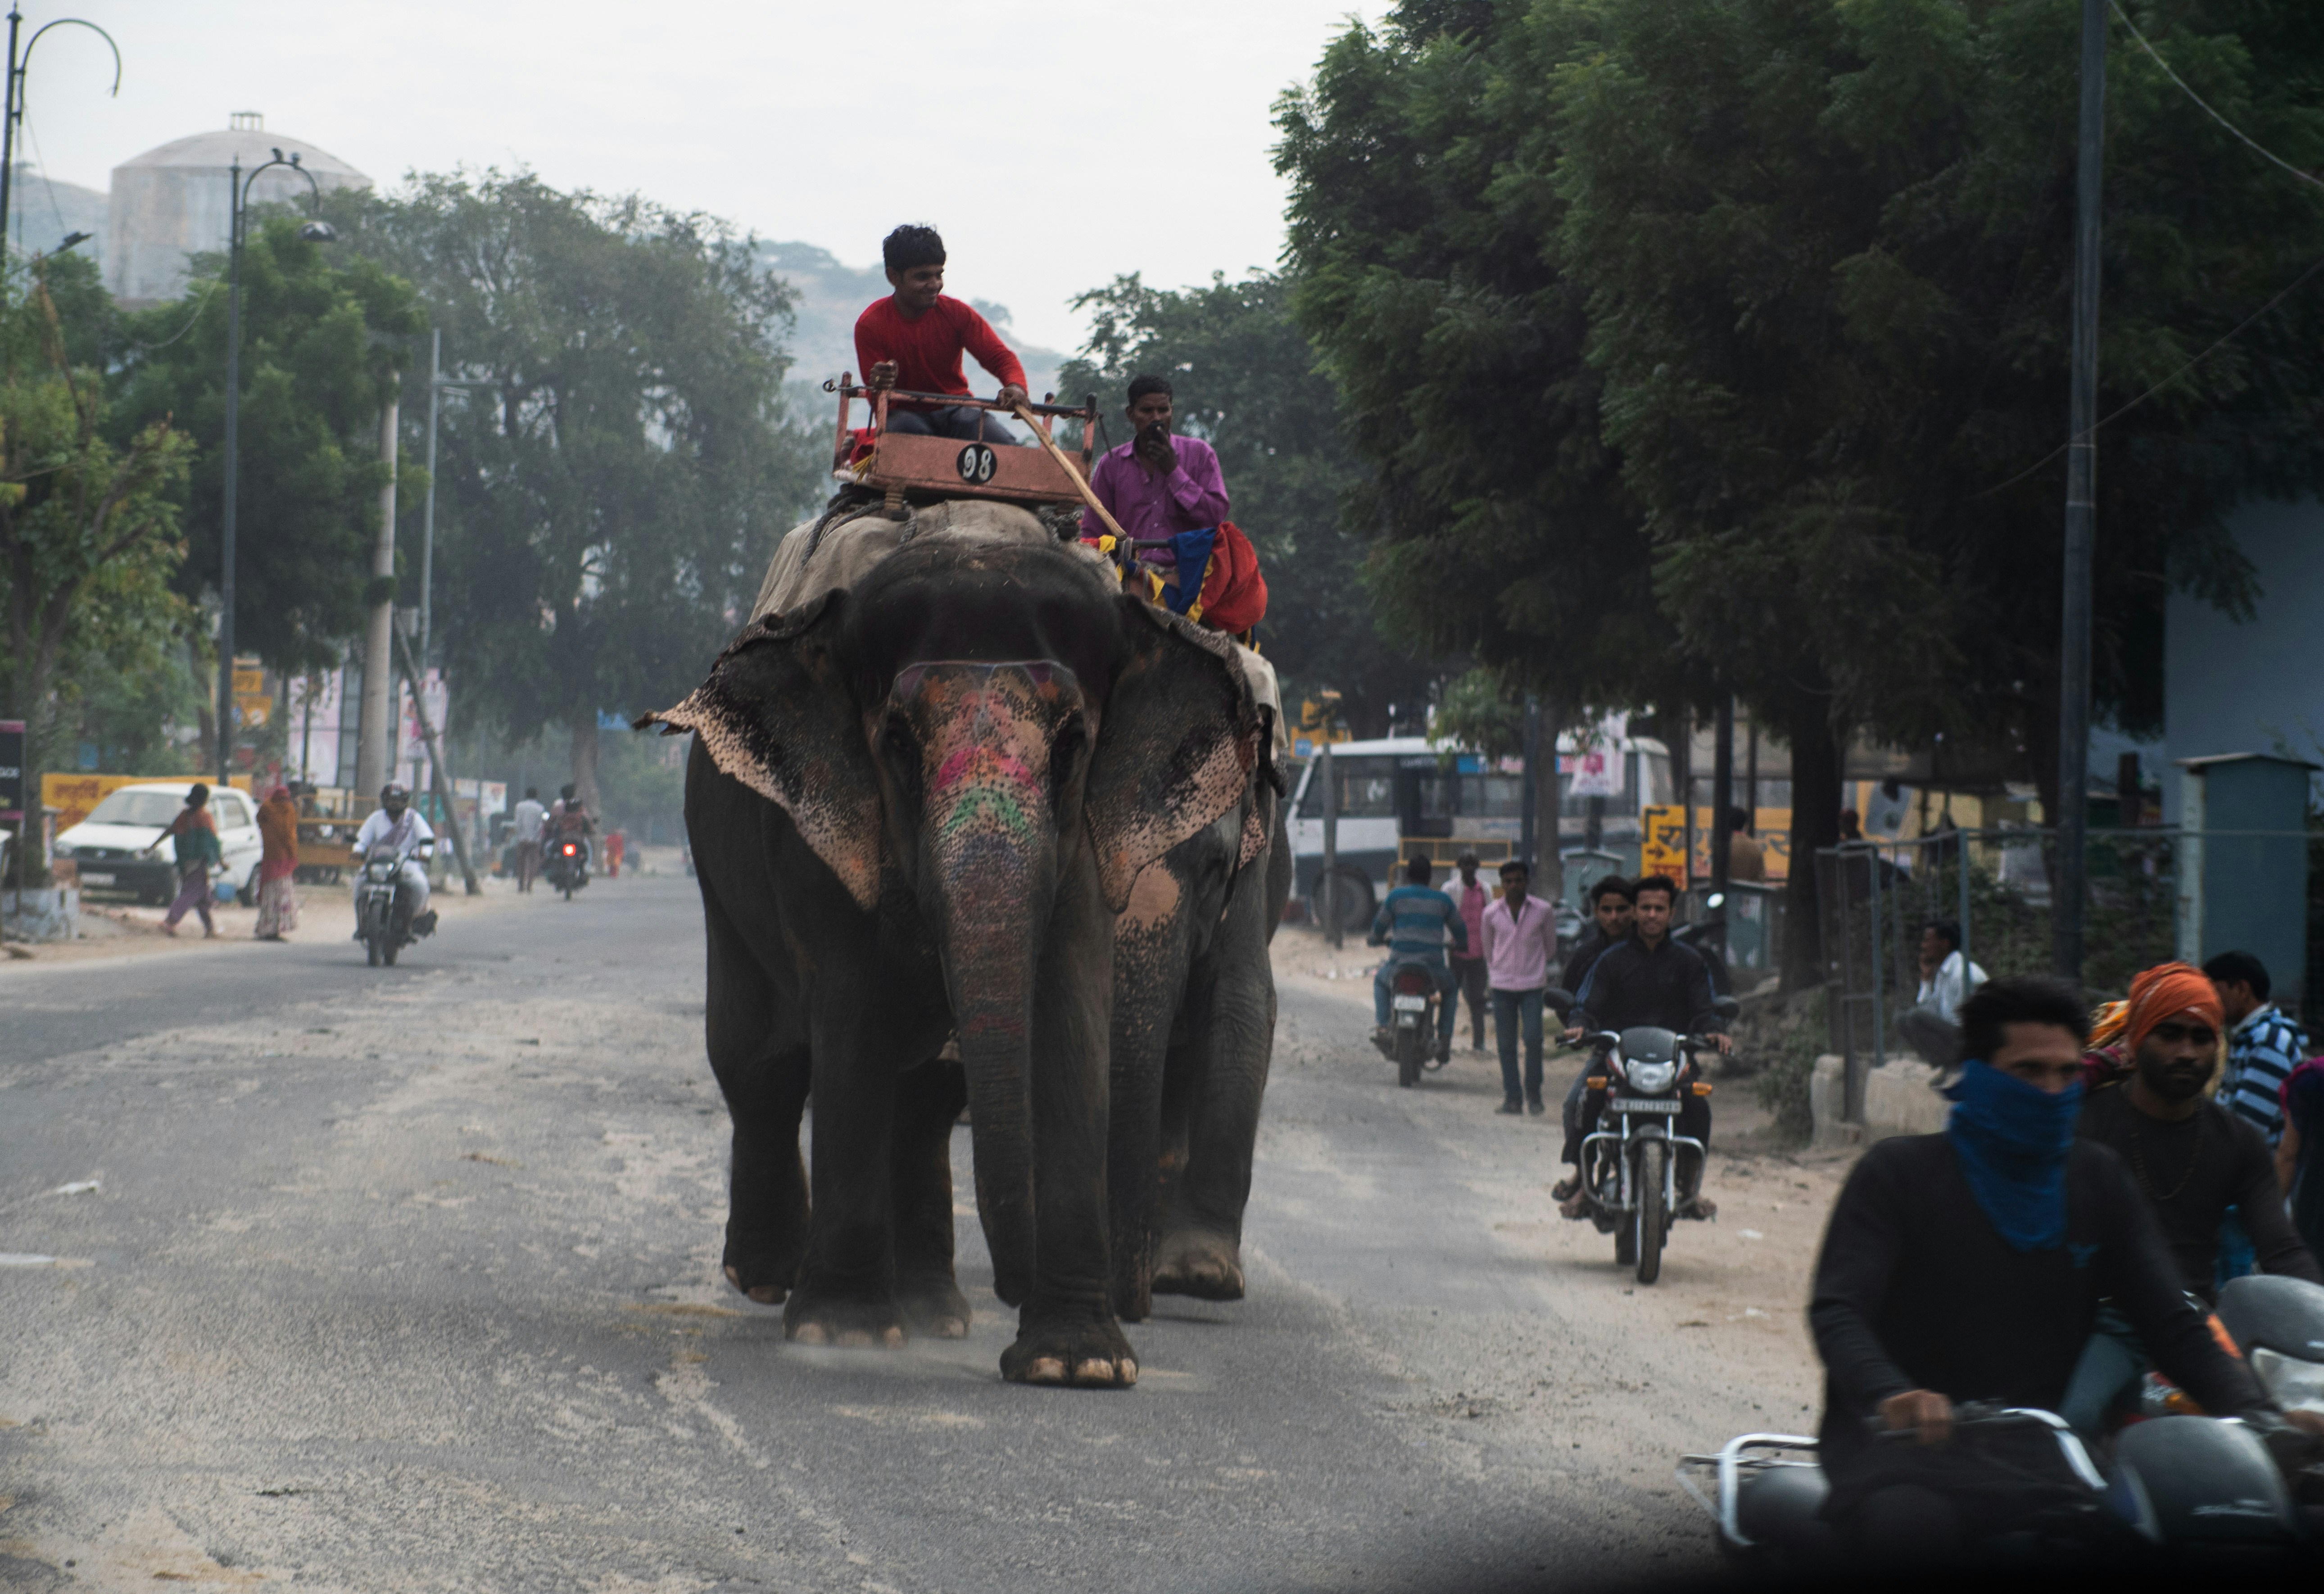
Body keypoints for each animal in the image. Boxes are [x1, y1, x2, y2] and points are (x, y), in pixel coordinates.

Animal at [651, 503, 1266, 1386]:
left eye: (1073, 743)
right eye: (898, 743)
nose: (1014, 1288)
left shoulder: (1090, 841)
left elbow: (1072, 1018)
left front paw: (1079, 1365)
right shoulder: (822, 836)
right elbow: (851, 1013)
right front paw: (845, 1335)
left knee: (923, 1098)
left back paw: (934, 1314)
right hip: (717, 860)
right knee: (759, 1060)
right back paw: (770, 1280)